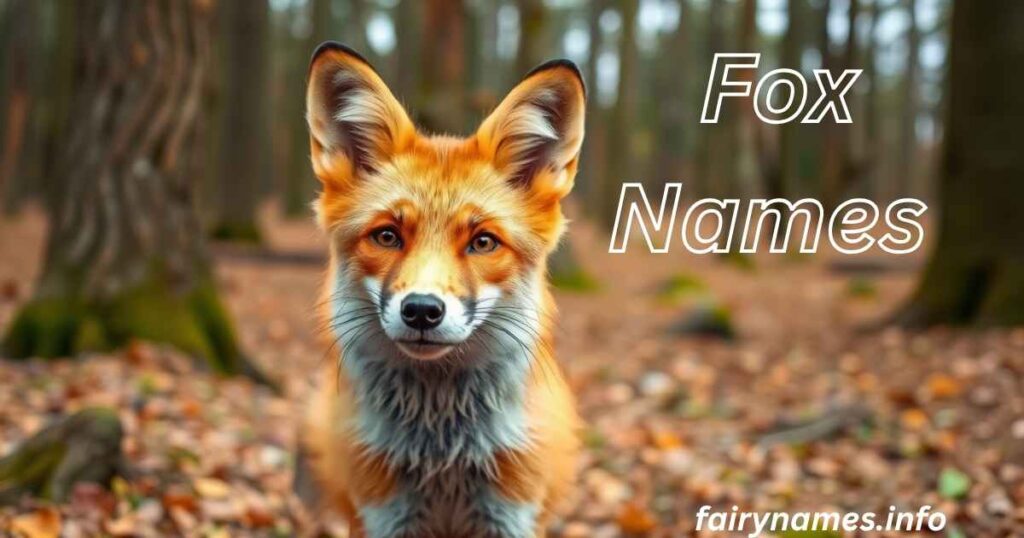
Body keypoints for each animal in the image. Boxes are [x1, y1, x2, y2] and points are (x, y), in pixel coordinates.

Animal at [297, 42, 586, 538]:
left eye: (483, 242)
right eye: (387, 236)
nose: (421, 310)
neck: (442, 452)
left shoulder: (511, 512)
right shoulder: (384, 514)